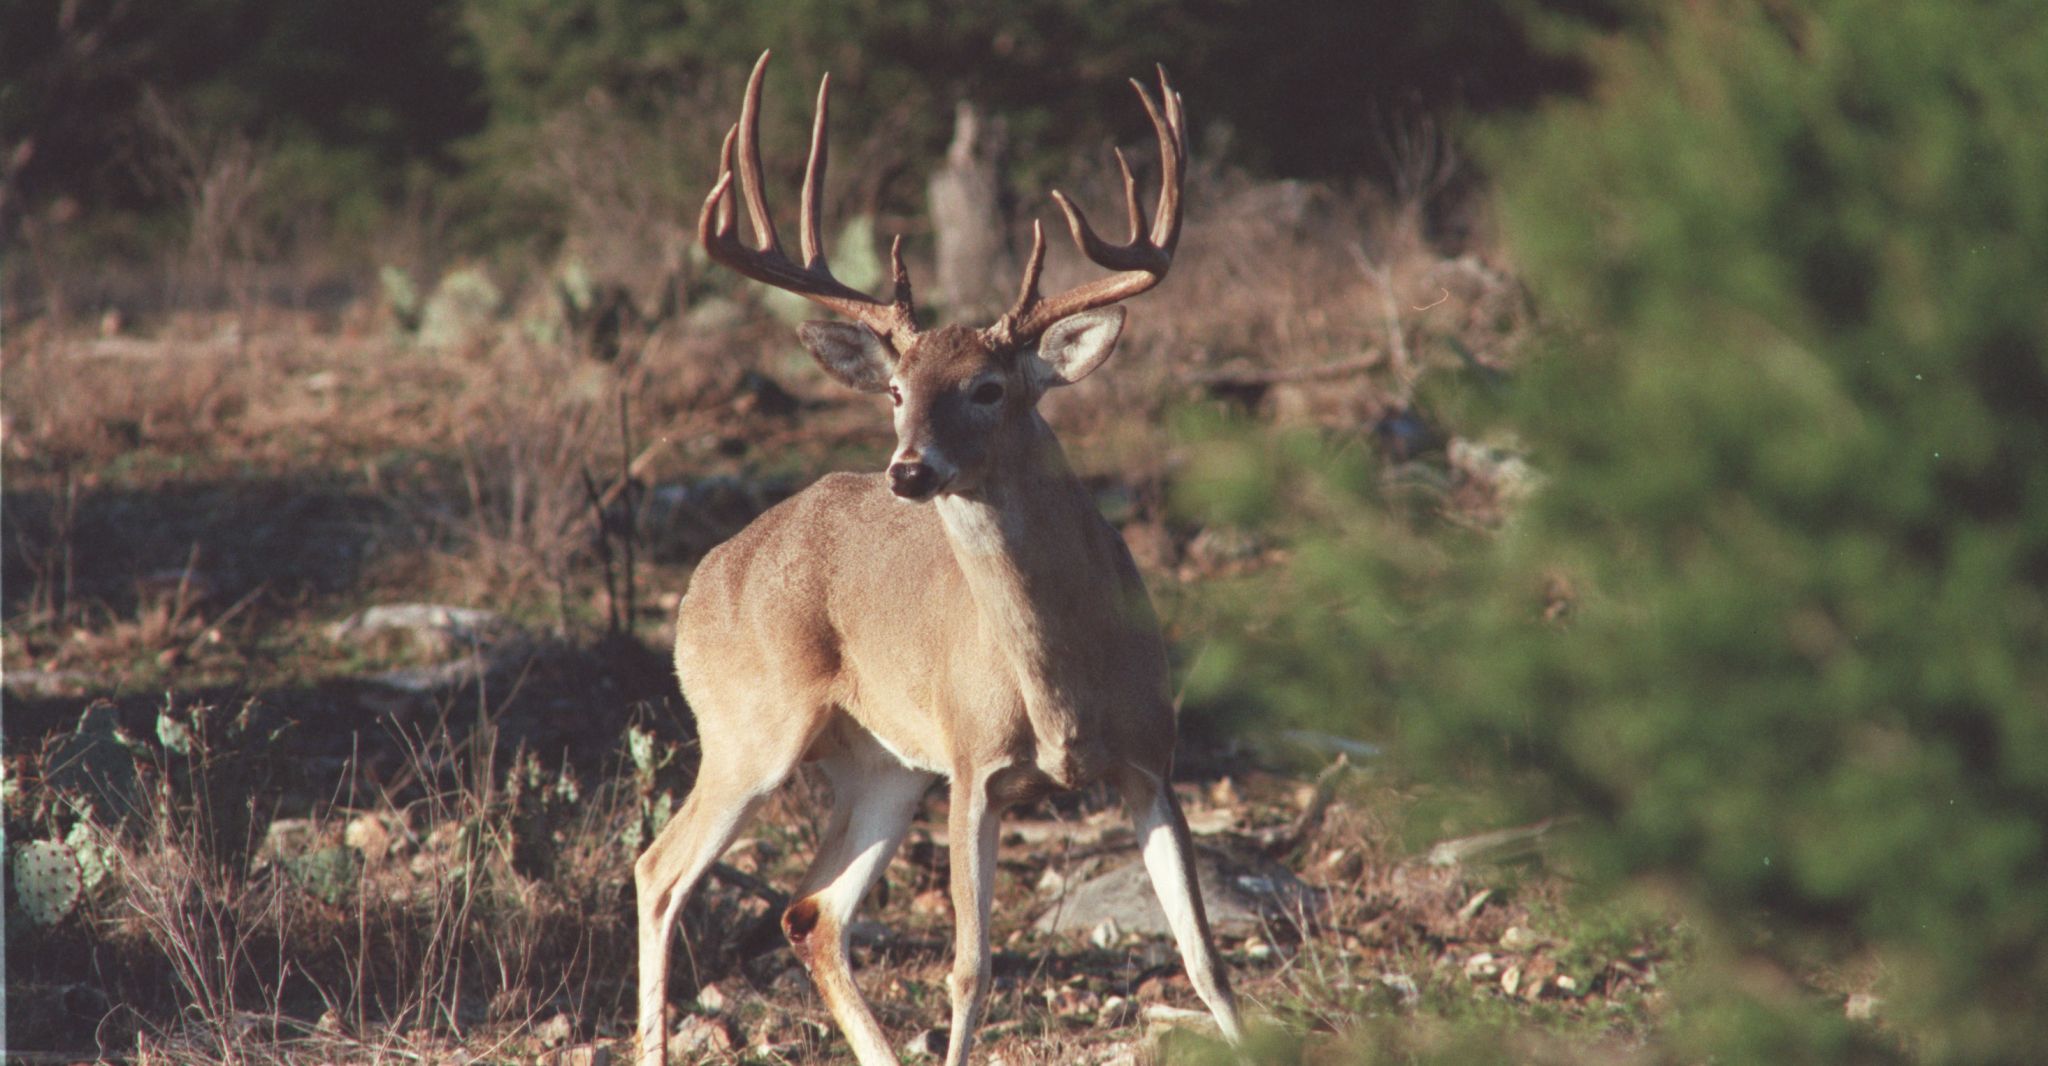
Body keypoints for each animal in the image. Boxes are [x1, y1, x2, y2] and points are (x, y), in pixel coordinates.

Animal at [635, 51, 1244, 1066]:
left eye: (988, 387)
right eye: (895, 390)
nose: (908, 469)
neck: (1063, 684)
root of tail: (700, 580)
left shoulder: (1153, 759)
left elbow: (1205, 962)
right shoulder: (974, 764)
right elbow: (969, 970)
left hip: (881, 764)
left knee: (811, 911)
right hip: (749, 726)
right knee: (659, 869)